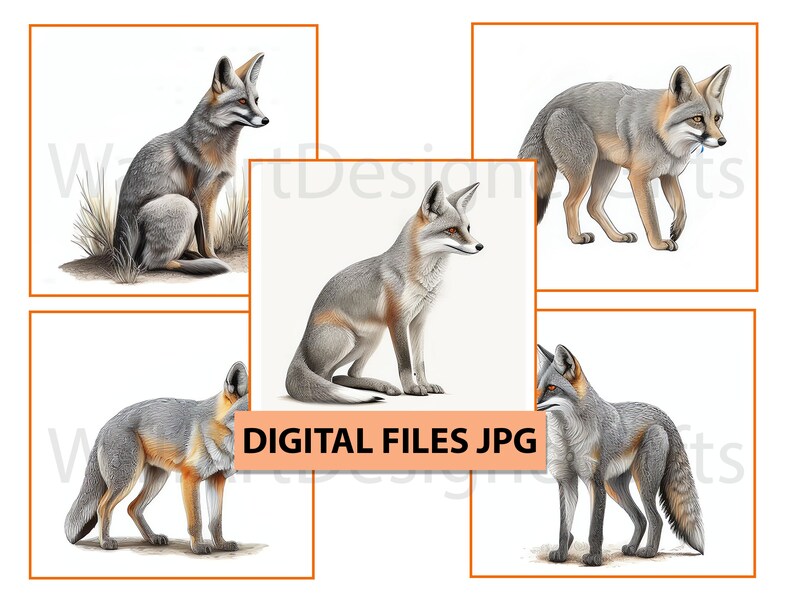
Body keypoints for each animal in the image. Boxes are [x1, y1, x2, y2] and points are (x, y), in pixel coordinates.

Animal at [64, 362, 249, 555]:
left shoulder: (217, 479)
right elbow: (196, 520)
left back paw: (152, 538)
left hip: (158, 479)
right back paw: (105, 541)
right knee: (103, 506)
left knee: (133, 507)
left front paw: (221, 544)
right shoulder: (190, 478)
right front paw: (198, 546)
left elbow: (216, 522)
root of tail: (105, 426)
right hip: (126, 479)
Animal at [114, 53, 268, 275]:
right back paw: (194, 264)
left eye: (255, 101)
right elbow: (207, 239)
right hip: (184, 205)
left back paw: (190, 255)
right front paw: (213, 258)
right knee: (152, 262)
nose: (266, 120)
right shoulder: (201, 195)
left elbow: (205, 236)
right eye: (241, 101)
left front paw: (206, 256)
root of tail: (120, 256)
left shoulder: (212, 192)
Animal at [286, 181, 484, 404]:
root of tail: (301, 344)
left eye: (468, 228)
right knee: (325, 377)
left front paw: (425, 385)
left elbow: (419, 361)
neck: (421, 281)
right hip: (347, 338)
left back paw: (381, 387)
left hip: (372, 338)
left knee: (346, 374)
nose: (480, 246)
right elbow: (405, 362)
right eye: (451, 230)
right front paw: (411, 389)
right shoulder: (396, 319)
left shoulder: (419, 320)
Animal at [520, 65, 731, 251]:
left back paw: (617, 236)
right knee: (569, 203)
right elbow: (651, 217)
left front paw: (677, 228)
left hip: (607, 172)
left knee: (592, 206)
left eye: (717, 118)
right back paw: (576, 238)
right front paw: (658, 243)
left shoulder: (669, 175)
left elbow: (682, 206)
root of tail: (549, 106)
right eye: (697, 119)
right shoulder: (639, 178)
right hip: (585, 173)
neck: (663, 137)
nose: (723, 141)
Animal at [536, 344, 704, 566]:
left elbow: (595, 529)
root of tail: (663, 415)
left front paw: (594, 558)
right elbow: (564, 528)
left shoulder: (595, 481)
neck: (568, 440)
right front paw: (562, 554)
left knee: (655, 519)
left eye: (552, 388)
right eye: (538, 387)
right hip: (615, 487)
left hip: (642, 483)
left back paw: (649, 551)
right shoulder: (566, 480)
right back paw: (632, 548)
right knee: (641, 519)